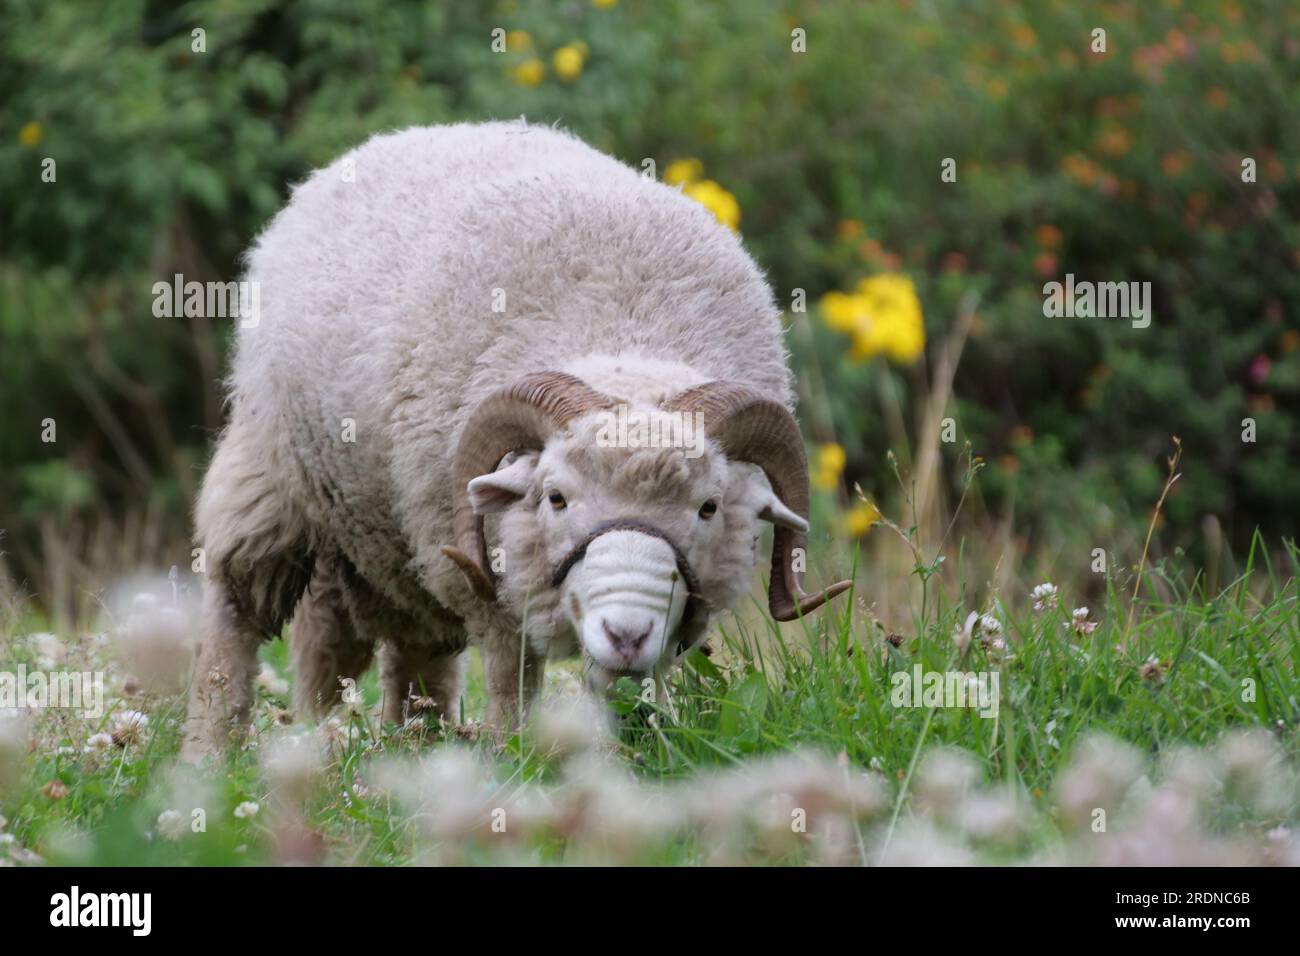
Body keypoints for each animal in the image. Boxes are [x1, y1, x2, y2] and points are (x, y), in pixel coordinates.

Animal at [182, 120, 849, 758]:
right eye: (554, 497)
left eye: (709, 507)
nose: (626, 634)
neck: (624, 333)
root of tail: (412, 133)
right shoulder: (491, 586)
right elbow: (511, 684)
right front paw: (513, 757)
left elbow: (630, 690)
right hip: (275, 476)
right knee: (233, 617)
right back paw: (209, 754)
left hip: (391, 545)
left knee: (402, 653)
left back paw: (407, 742)